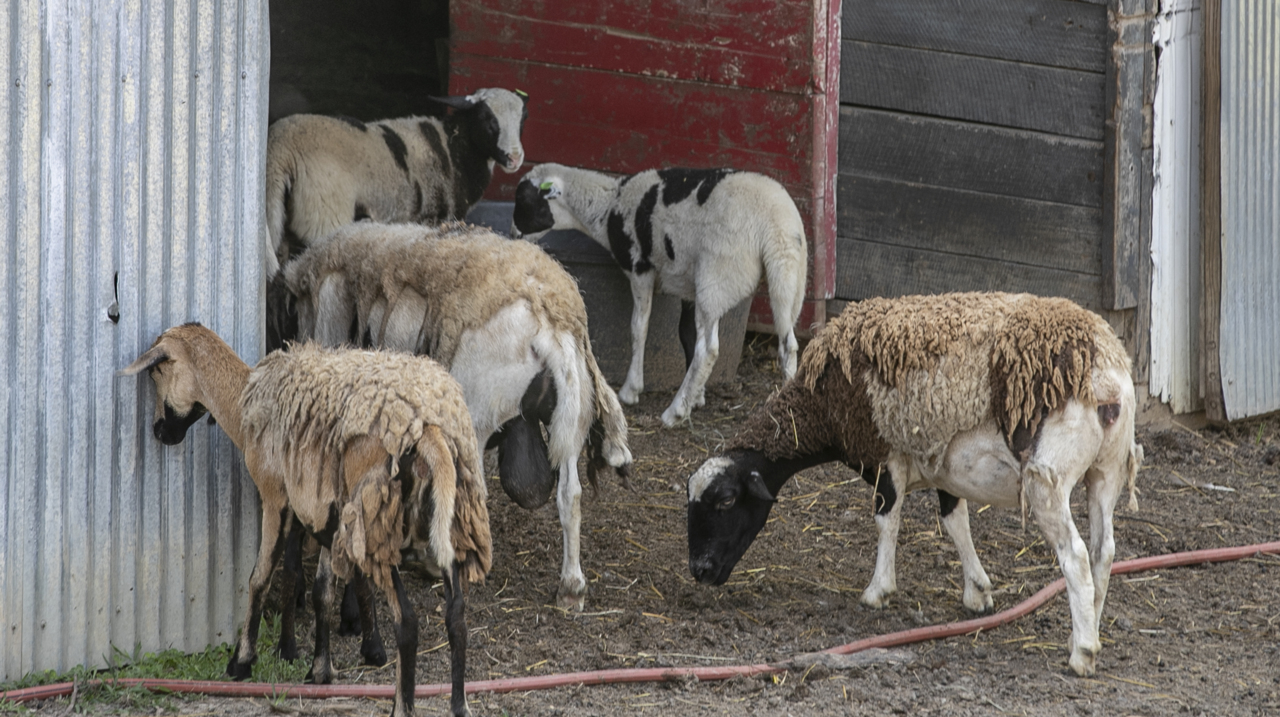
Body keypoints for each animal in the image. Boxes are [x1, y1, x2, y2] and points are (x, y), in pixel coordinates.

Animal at [121, 324, 491, 717]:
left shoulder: (275, 497)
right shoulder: (326, 511)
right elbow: (321, 591)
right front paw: (320, 669)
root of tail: (429, 428)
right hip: (451, 518)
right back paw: (459, 706)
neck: (244, 401)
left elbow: (260, 577)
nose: (161, 433)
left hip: (379, 521)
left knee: (406, 620)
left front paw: (241, 662)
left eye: (157, 372)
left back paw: (401, 707)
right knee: (456, 615)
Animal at [263, 87, 529, 278]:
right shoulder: (441, 216)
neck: (454, 147)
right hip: (323, 215)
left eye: (522, 121)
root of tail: (280, 149)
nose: (515, 158)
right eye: (486, 119)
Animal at [283, 220, 633, 610]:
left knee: (473, 493)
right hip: (571, 417)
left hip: (478, 419)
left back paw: (448, 564)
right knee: (570, 495)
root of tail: (549, 323)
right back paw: (571, 587)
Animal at [510, 163, 809, 427]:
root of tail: (775, 224)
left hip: (717, 276)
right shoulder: (688, 286)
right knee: (788, 344)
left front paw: (632, 389)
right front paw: (697, 395)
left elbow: (639, 327)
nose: (513, 234)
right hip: (789, 277)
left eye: (524, 200)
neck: (607, 206)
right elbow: (686, 335)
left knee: (709, 349)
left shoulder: (640, 267)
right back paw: (786, 401)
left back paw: (674, 413)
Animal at [685, 292, 1143, 677]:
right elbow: (955, 521)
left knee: (1076, 556)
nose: (700, 571)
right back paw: (1087, 630)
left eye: (726, 501)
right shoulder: (947, 464)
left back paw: (1082, 653)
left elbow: (887, 519)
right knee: (1103, 551)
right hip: (1105, 471)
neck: (820, 407)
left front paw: (878, 591)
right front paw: (978, 592)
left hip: (1047, 475)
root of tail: (1103, 370)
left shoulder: (883, 455)